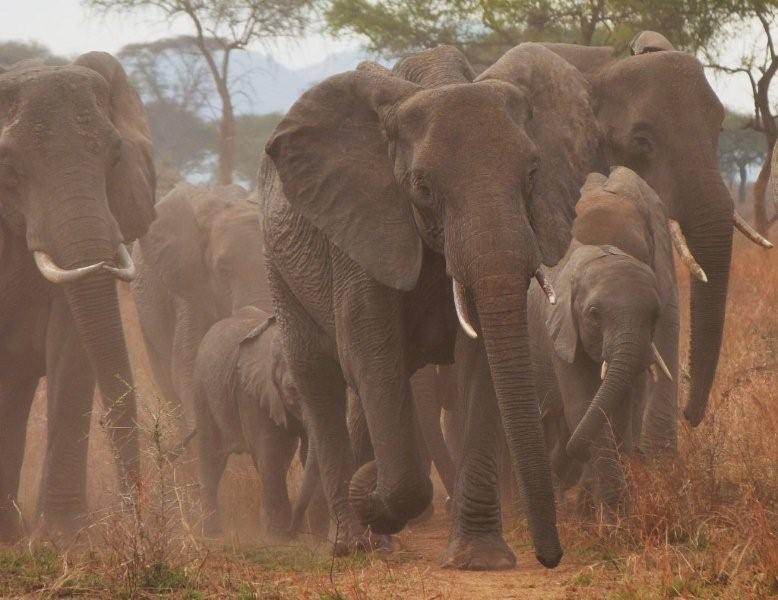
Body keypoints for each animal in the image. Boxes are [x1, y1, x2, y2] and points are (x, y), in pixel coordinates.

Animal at [192, 306, 325, 541]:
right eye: (292, 389)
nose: (295, 530)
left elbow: (307, 451)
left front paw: (317, 537)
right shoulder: (251, 392)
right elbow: (271, 454)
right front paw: (279, 538)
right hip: (202, 393)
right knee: (212, 459)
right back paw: (212, 534)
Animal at [259, 43, 601, 569]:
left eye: (532, 175)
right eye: (421, 187)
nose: (551, 558)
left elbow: (481, 363)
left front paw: (479, 560)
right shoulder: (365, 224)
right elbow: (371, 355)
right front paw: (371, 490)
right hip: (280, 264)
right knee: (319, 377)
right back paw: (353, 544)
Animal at [529, 167, 676, 515]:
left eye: (654, 315)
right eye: (594, 314)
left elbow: (616, 412)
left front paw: (618, 518)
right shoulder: (562, 335)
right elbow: (584, 405)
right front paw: (615, 520)